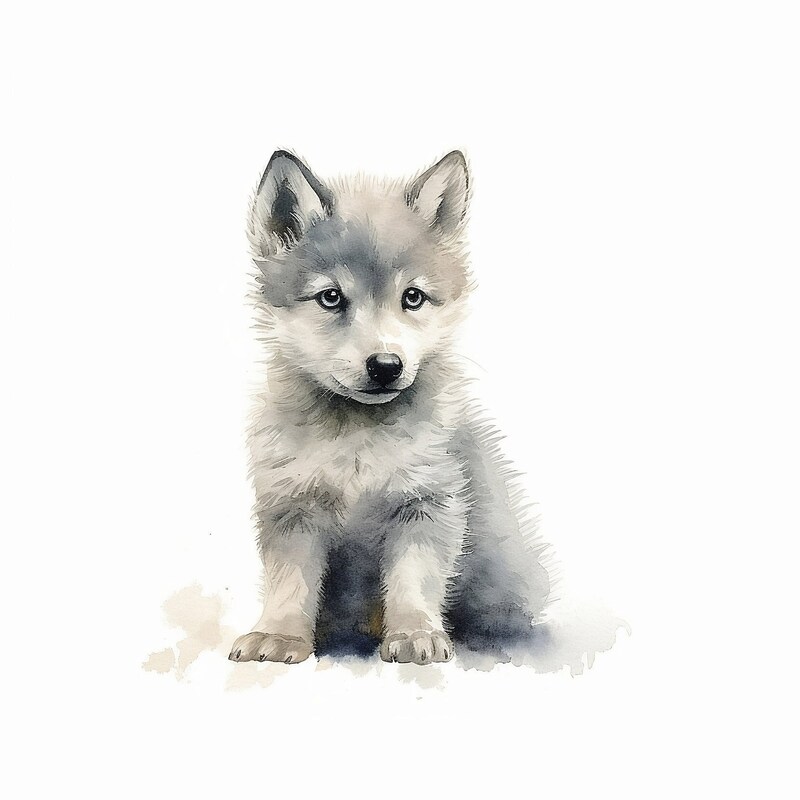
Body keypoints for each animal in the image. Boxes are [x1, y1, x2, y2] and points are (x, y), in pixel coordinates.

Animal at [229, 150, 552, 666]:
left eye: (412, 297)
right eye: (331, 297)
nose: (385, 366)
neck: (359, 444)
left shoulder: (428, 502)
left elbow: (412, 580)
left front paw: (415, 632)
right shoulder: (291, 505)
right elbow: (290, 583)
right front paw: (278, 635)